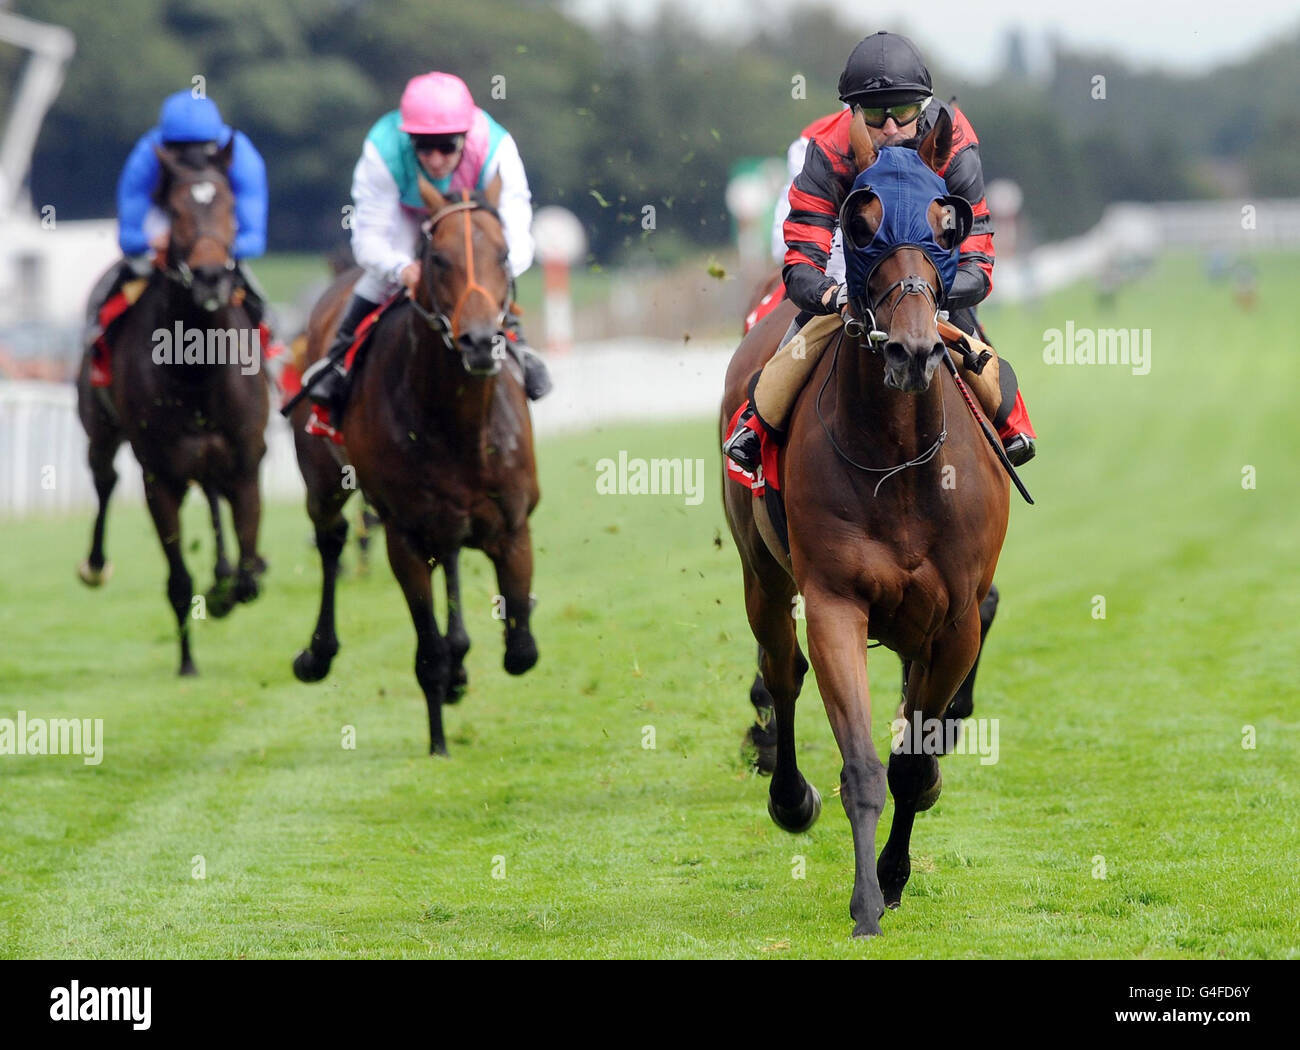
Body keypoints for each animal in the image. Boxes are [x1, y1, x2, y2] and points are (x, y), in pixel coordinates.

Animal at [77, 138, 269, 675]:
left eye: (230, 206)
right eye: (177, 211)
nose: (209, 278)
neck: (196, 368)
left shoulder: (245, 463)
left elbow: (248, 576)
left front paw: (225, 589)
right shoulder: (159, 476)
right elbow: (179, 581)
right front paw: (187, 662)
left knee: (214, 501)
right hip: (99, 426)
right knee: (104, 478)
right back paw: (95, 565)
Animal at [287, 177, 540, 756]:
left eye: (504, 253)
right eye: (439, 259)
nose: (479, 341)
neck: (459, 423)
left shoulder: (513, 525)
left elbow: (522, 649)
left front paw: (462, 668)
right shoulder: (402, 535)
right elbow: (428, 651)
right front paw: (439, 740)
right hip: (323, 478)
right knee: (331, 539)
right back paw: (317, 652)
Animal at [720, 110, 1010, 936]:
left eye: (948, 221)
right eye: (859, 222)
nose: (913, 349)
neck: (902, 461)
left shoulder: (954, 618)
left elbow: (910, 763)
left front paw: (894, 871)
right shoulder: (835, 603)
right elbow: (861, 764)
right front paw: (867, 904)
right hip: (762, 574)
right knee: (781, 671)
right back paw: (789, 794)